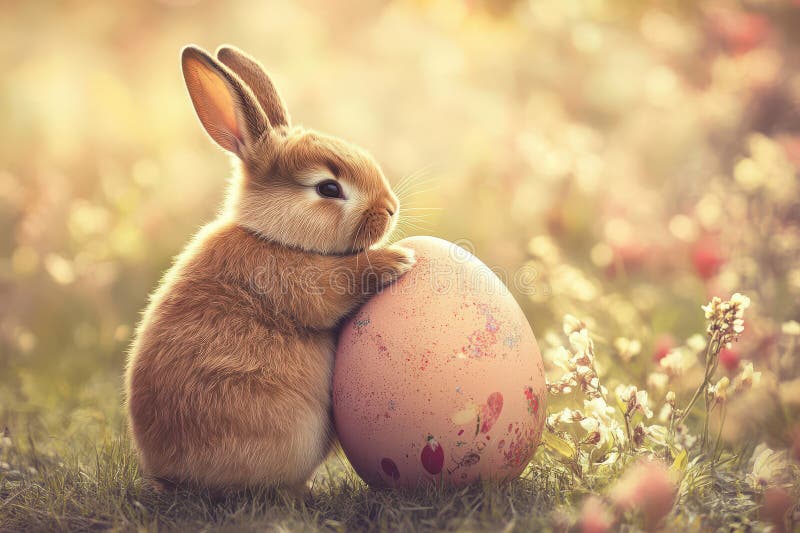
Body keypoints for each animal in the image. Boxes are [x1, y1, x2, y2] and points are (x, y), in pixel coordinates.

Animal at [125, 44, 415, 493]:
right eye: (328, 188)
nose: (389, 209)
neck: (272, 237)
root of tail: (169, 475)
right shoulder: (297, 282)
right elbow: (337, 288)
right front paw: (397, 260)